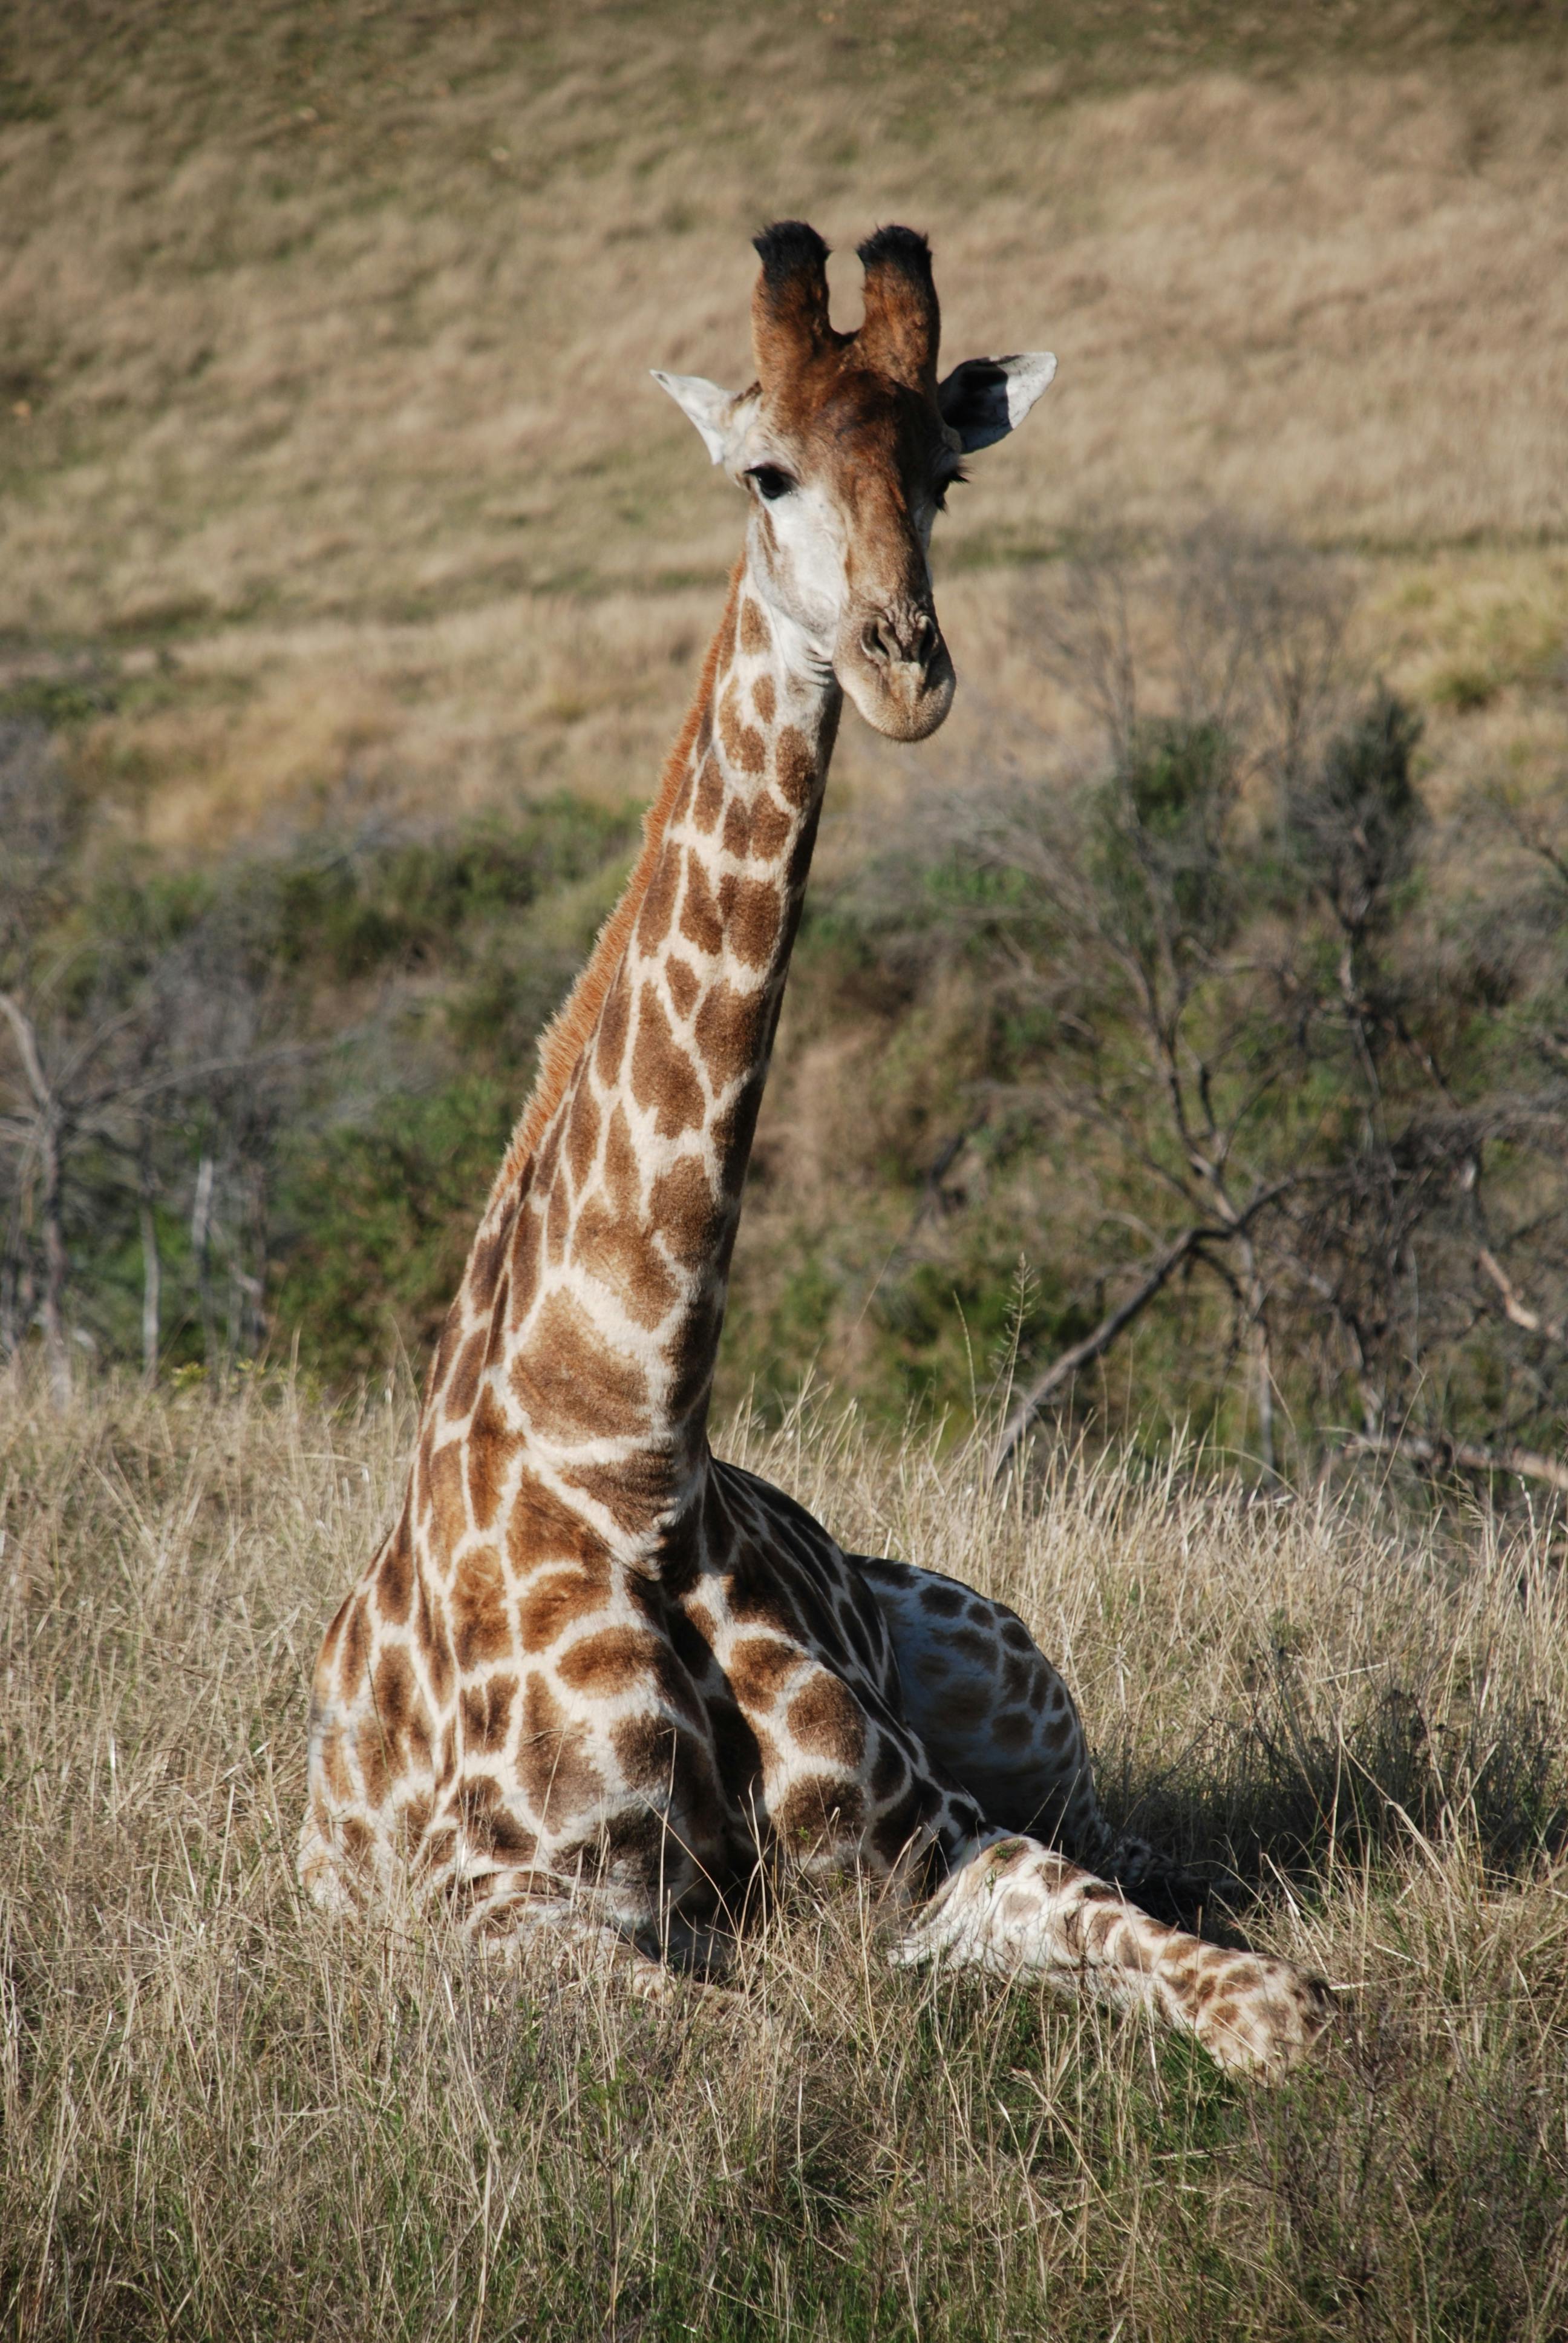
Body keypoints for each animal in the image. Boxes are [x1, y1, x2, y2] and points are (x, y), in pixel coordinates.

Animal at [299, 222, 1332, 2078]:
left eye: (942, 471)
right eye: (762, 470)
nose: (905, 664)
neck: (630, 1448)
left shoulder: (943, 1851)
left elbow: (1261, 1999)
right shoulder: (494, 1910)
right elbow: (778, 2046)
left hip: (1025, 1684)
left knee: (1135, 1831)